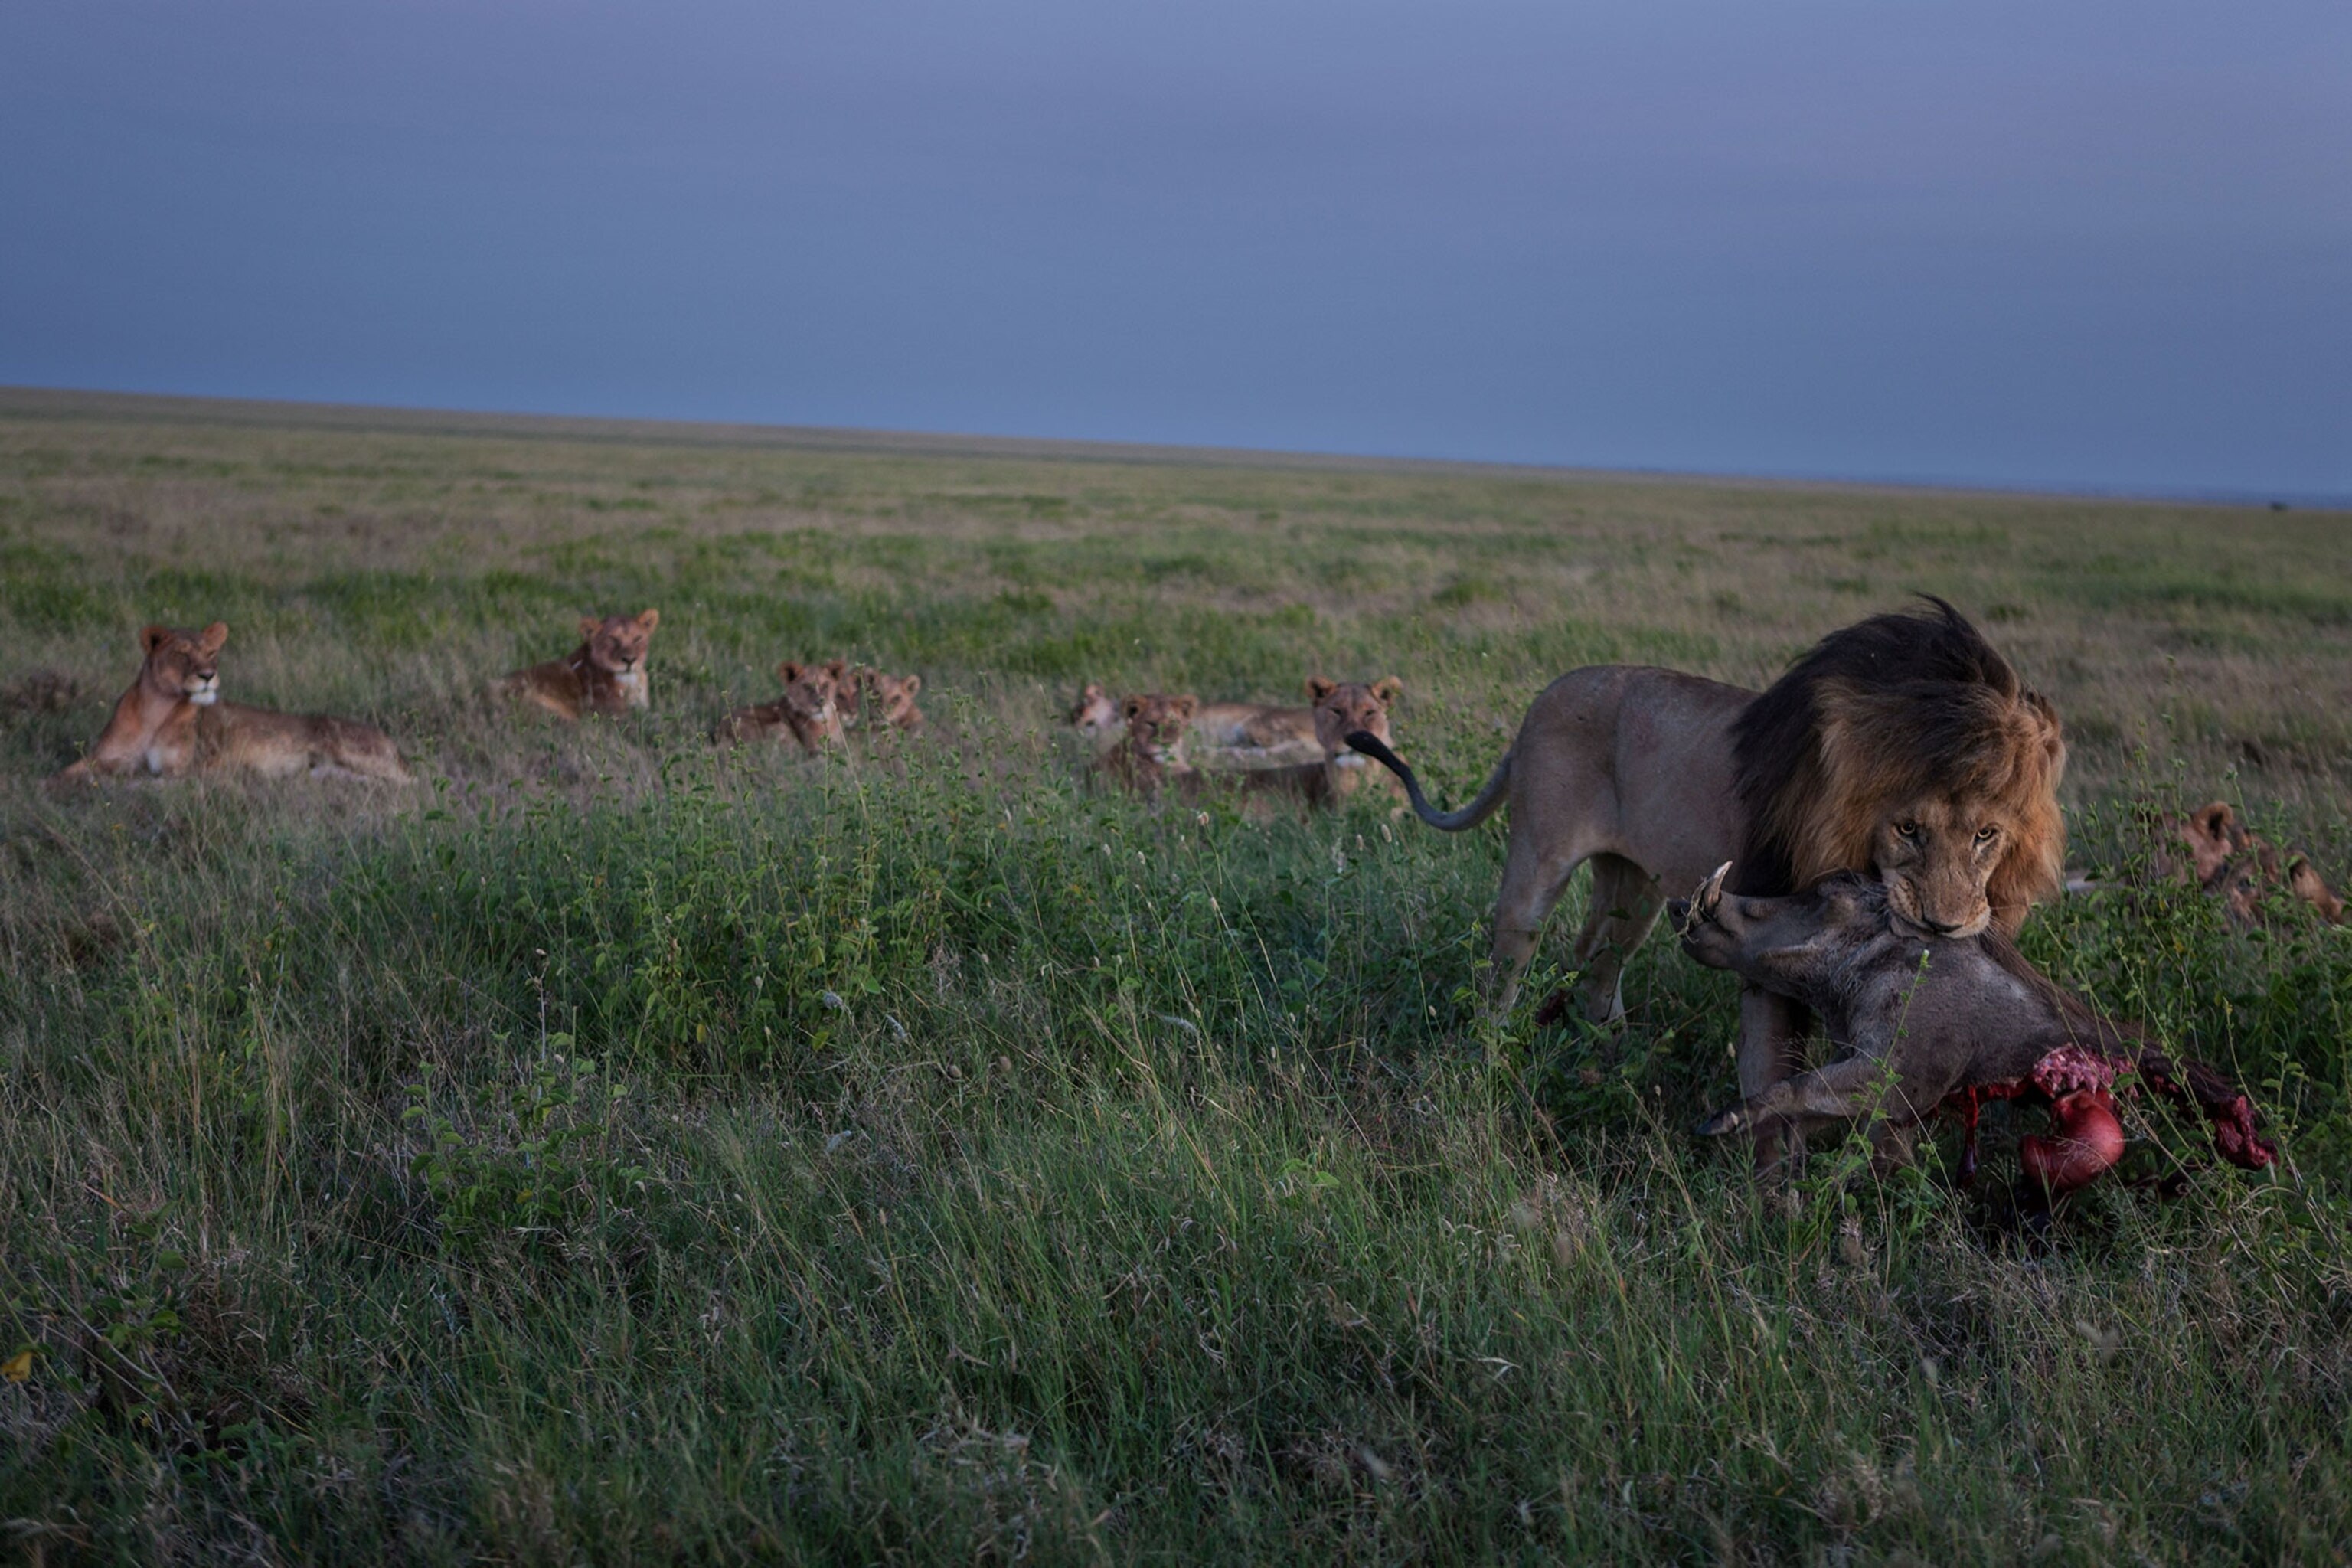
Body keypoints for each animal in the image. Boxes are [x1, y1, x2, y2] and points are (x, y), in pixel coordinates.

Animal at [51, 622, 411, 786]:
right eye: (182, 653)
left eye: (211, 652)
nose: (208, 675)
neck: (156, 710)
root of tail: (391, 741)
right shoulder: (100, 756)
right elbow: (60, 775)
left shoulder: (192, 770)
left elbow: (146, 781)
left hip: (343, 743)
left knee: (410, 780)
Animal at [714, 659, 849, 751]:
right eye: (807, 686)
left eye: (826, 685)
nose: (820, 702)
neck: (825, 721)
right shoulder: (814, 748)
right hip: (779, 727)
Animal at [1346, 599, 2065, 1158]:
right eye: (1909, 829)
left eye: (1986, 834)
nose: (1944, 925)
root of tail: (1539, 701)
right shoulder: (1770, 937)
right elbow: (1775, 1062)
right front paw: (1778, 1197)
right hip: (1537, 861)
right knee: (1509, 962)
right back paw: (1493, 1060)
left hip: (1633, 884)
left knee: (1598, 957)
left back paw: (1615, 1057)